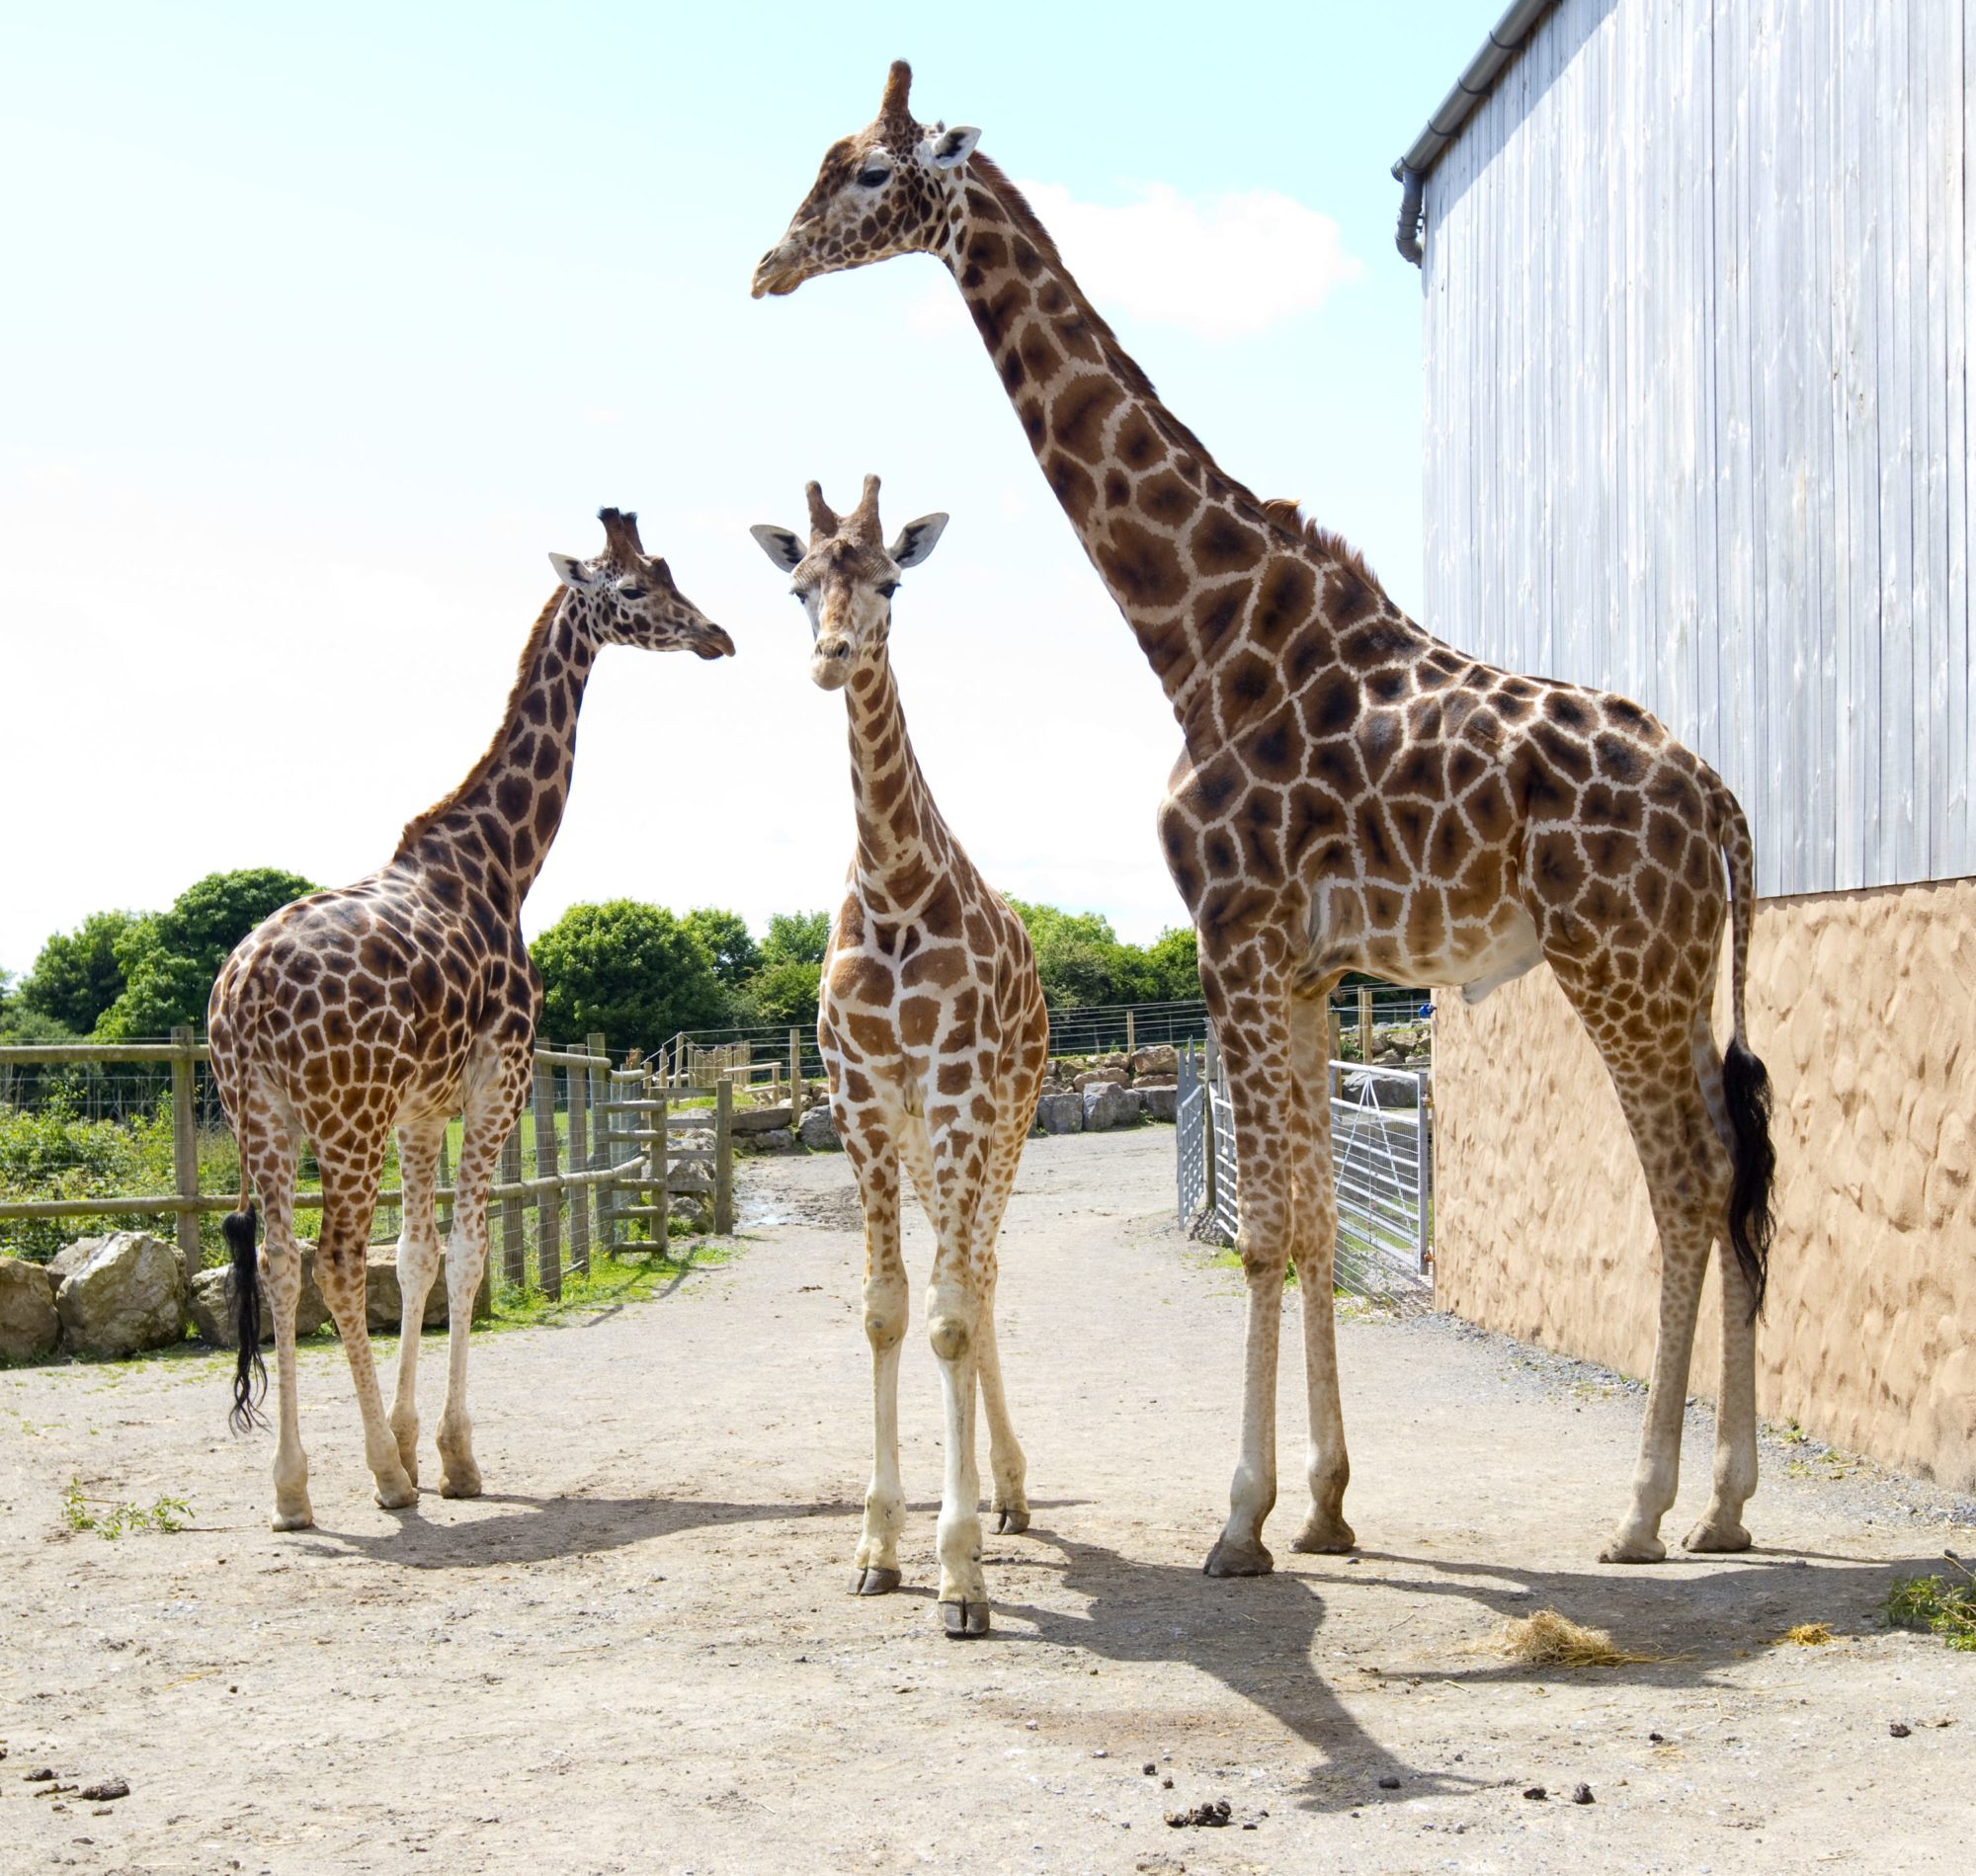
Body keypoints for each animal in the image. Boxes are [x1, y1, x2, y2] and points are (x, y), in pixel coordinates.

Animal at [207, 510, 733, 1530]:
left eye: (669, 576)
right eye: (636, 590)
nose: (717, 636)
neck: (503, 864)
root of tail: (241, 993)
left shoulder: (421, 1109)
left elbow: (415, 1259)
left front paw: (416, 1436)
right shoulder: (498, 1085)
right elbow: (466, 1256)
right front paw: (450, 1457)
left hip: (264, 1116)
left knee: (285, 1262)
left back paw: (292, 1489)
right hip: (346, 1117)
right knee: (335, 1260)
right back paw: (382, 1477)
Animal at [749, 474, 1050, 1635]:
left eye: (890, 582)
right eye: (798, 586)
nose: (833, 655)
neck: (890, 884)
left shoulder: (959, 1090)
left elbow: (948, 1317)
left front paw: (958, 1574)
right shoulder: (861, 1098)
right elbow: (886, 1310)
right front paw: (877, 1547)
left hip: (1007, 1117)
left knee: (985, 1272)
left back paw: (1009, 1494)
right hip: (928, 1143)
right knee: (970, 1273)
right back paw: (1006, 1494)